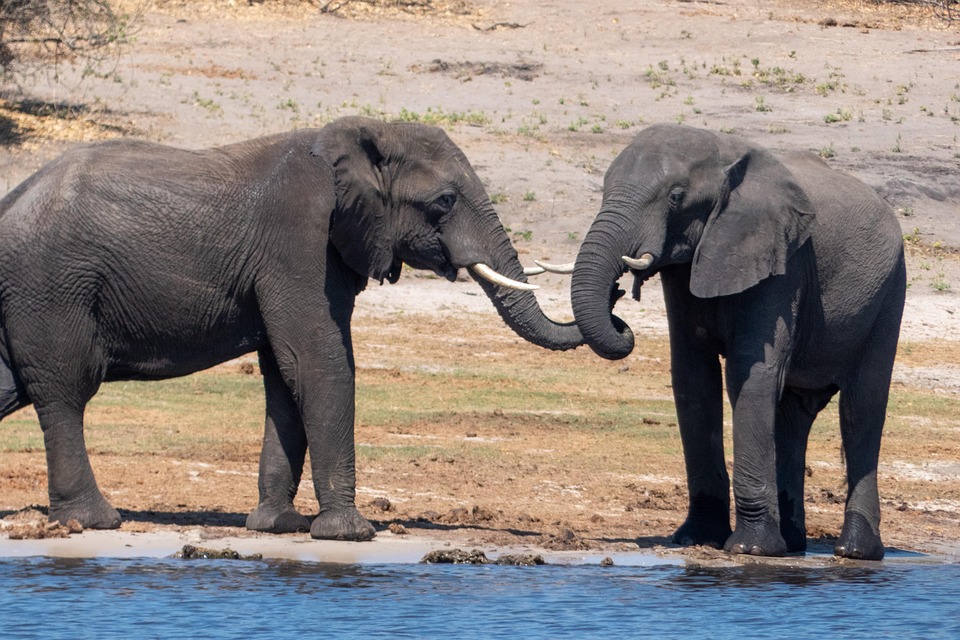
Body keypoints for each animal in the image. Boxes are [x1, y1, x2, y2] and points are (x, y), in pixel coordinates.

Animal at [0, 116, 582, 540]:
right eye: (444, 202)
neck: (365, 136)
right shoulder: (301, 242)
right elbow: (318, 364)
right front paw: (349, 534)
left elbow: (286, 376)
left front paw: (278, 526)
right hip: (51, 288)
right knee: (66, 390)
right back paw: (94, 522)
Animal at [570, 124, 906, 560]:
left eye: (676, 196)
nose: (618, 294)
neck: (726, 156)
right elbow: (694, 378)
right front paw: (697, 539)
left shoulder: (784, 262)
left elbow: (750, 374)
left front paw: (751, 549)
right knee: (793, 414)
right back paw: (793, 545)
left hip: (890, 291)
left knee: (861, 408)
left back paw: (855, 552)